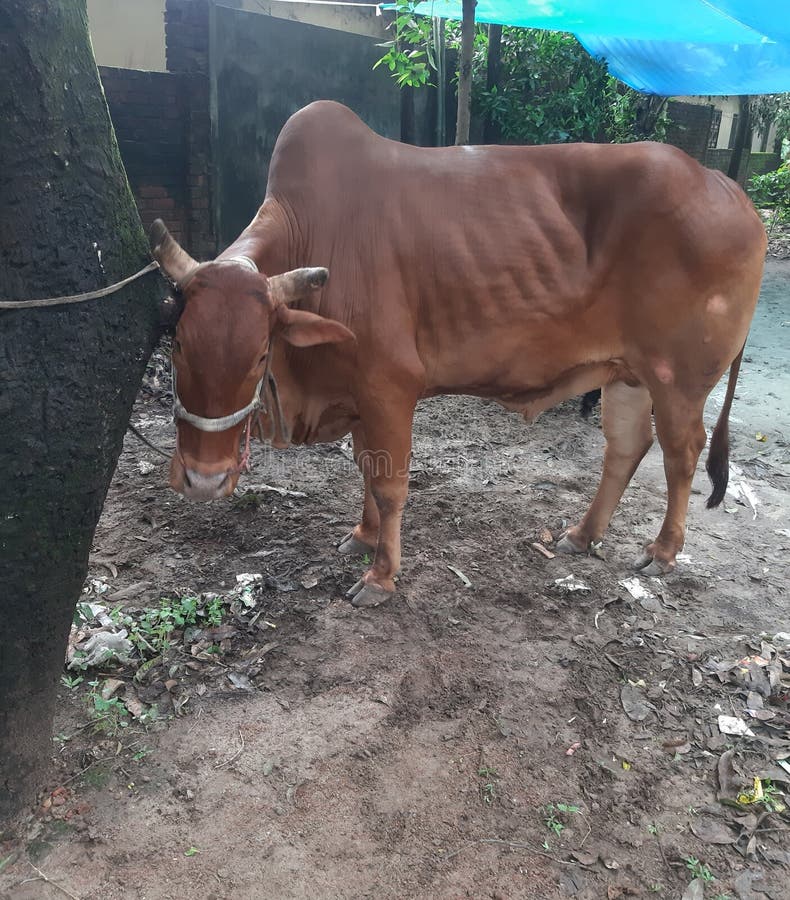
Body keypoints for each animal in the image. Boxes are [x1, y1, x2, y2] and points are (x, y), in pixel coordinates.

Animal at [150, 101, 765, 608]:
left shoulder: (389, 384)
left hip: (679, 379)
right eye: (177, 343)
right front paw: (362, 537)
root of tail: (727, 187)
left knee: (682, 453)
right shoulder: (357, 393)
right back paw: (581, 534)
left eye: (260, 355)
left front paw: (381, 577)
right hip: (628, 374)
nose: (203, 481)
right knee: (627, 446)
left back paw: (662, 551)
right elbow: (365, 466)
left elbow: (389, 483)